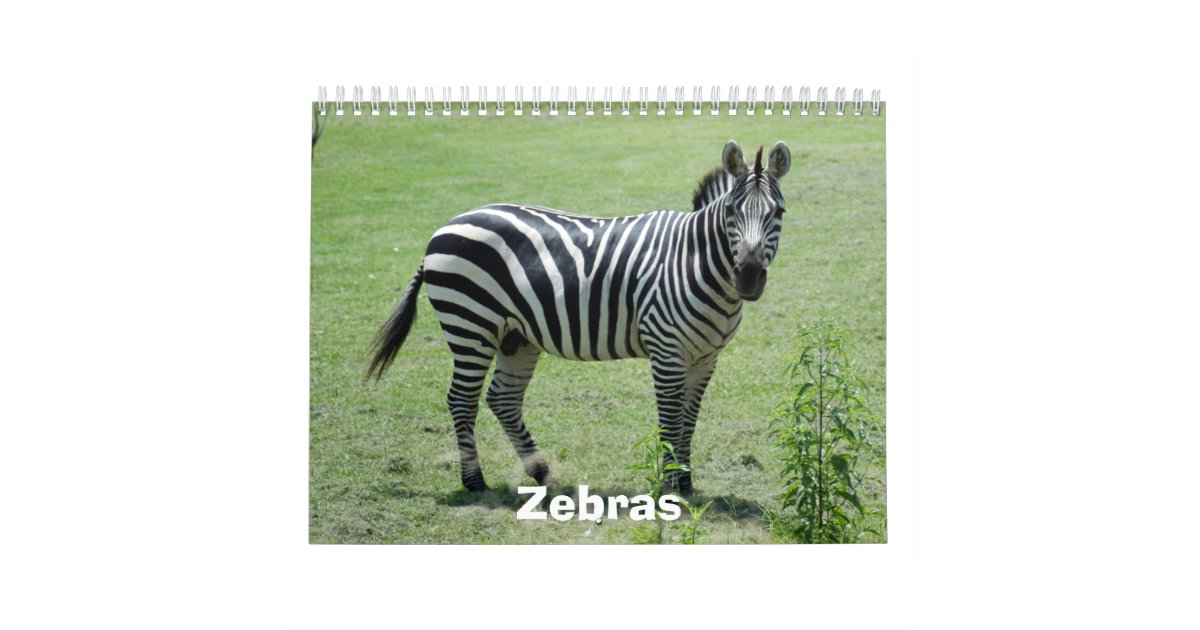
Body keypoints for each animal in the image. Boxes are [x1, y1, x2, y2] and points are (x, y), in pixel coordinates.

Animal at [367, 140, 792, 494]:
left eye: (779, 212)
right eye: (731, 211)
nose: (748, 276)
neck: (692, 259)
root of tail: (445, 226)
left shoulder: (706, 357)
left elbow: (689, 419)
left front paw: (684, 481)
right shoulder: (666, 350)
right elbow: (670, 419)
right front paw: (671, 486)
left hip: (515, 336)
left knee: (502, 398)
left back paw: (543, 474)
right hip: (471, 325)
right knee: (462, 399)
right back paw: (474, 481)